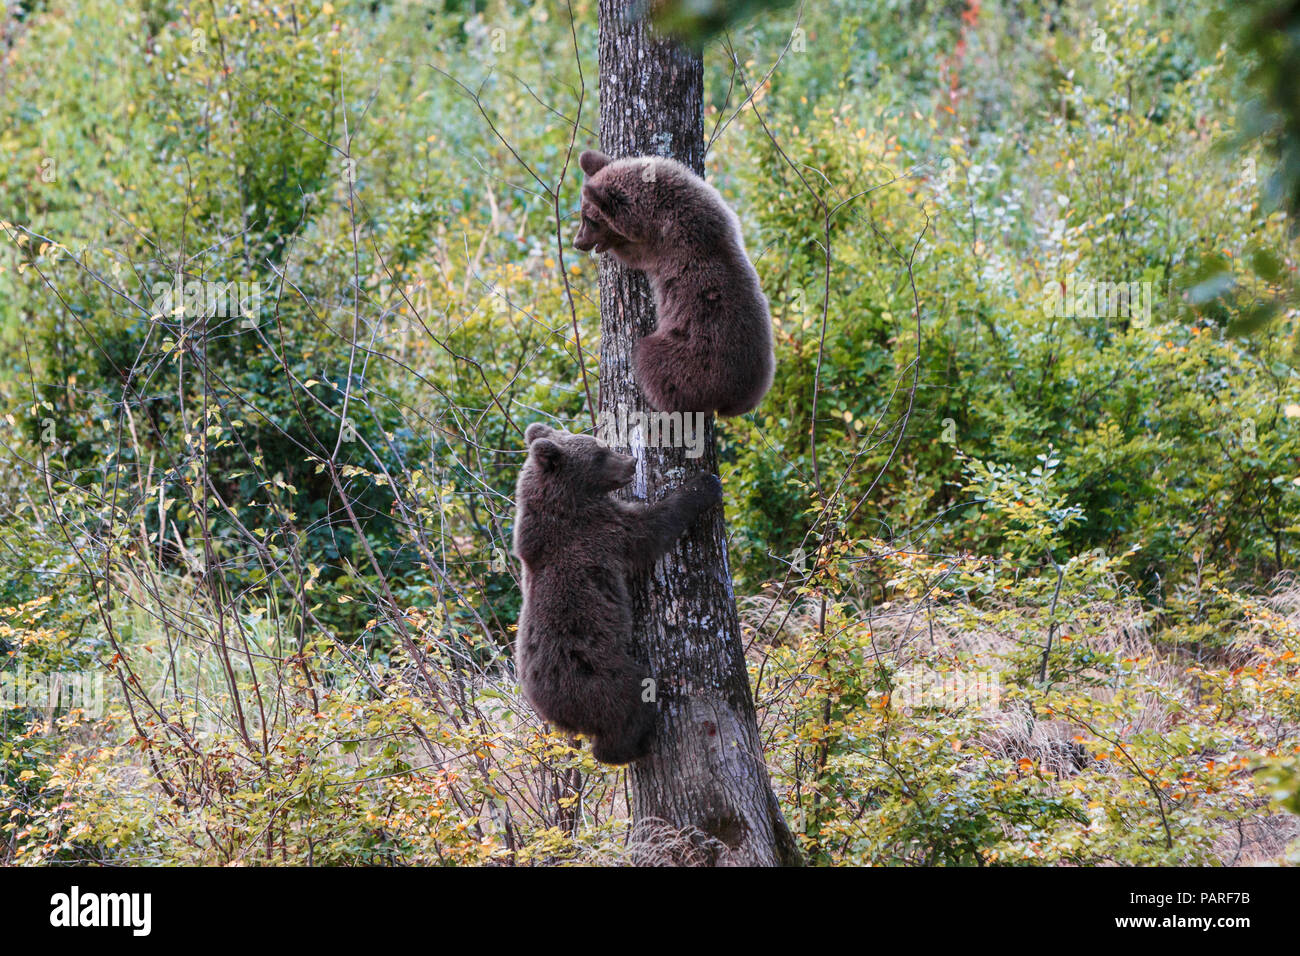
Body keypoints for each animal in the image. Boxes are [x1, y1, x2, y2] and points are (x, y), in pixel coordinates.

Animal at [511, 422, 723, 764]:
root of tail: (549, 710)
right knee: (632, 699)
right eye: (600, 453)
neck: (566, 502)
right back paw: (630, 745)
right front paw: (705, 484)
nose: (631, 462)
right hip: (598, 677)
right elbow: (651, 528)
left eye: (604, 445)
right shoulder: (601, 528)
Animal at [572, 149, 775, 418]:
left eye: (590, 219)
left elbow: (634, 255)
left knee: (651, 362)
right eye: (583, 214)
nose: (577, 242)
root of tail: (731, 400)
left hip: (686, 362)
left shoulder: (661, 246)